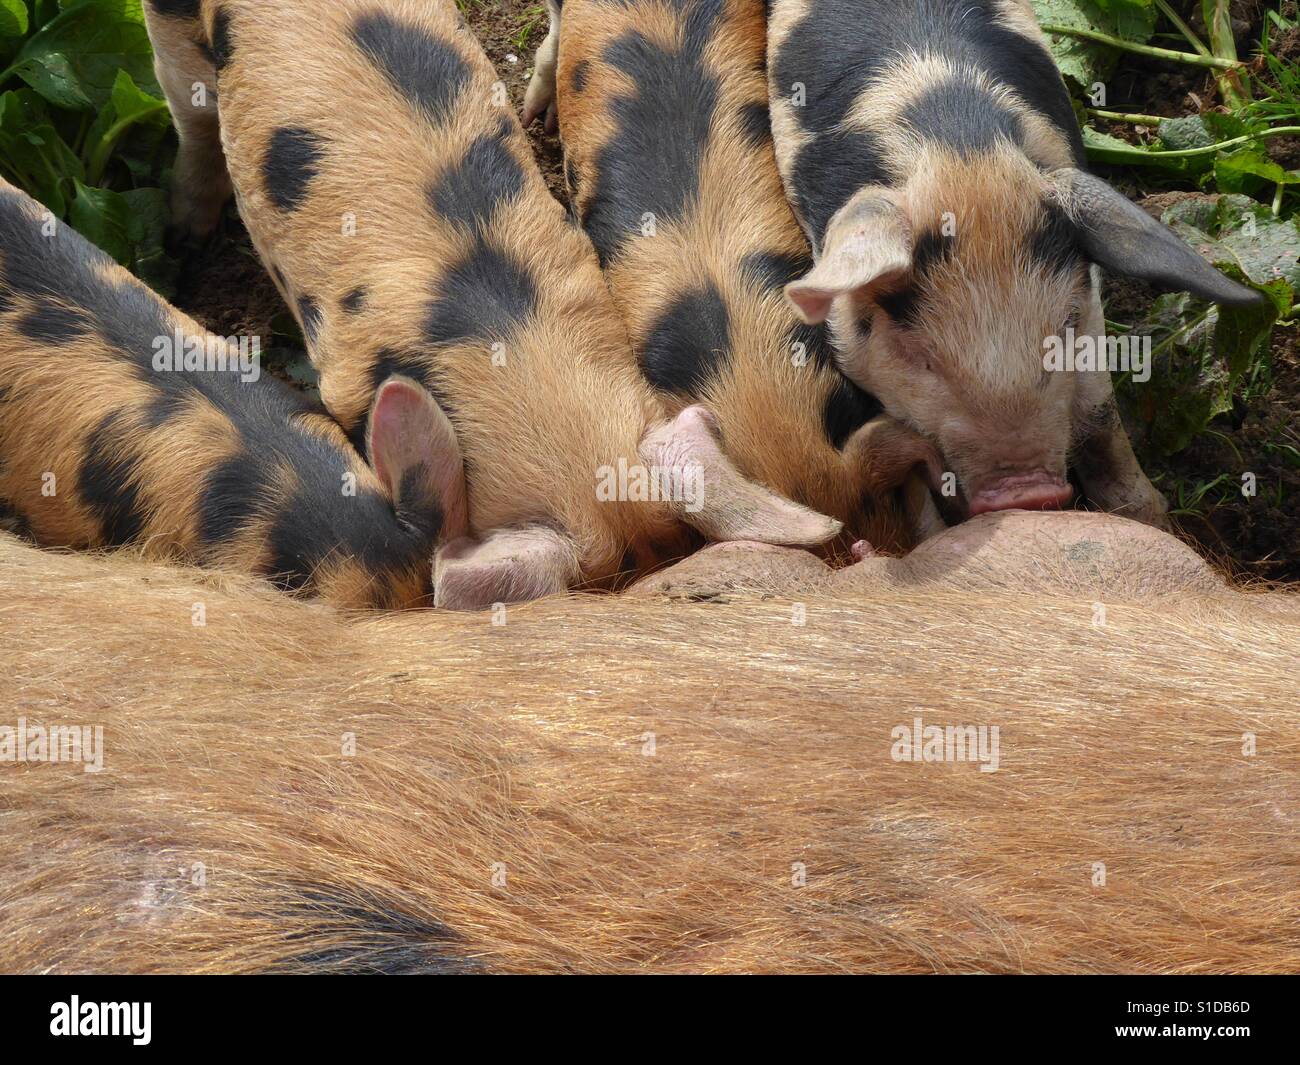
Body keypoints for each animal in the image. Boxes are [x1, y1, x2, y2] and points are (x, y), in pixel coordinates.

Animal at [765, 0, 1262, 526]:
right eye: (917, 353)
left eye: (1066, 325)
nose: (1028, 491)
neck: (961, 151)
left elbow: (1100, 412)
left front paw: (1149, 515)